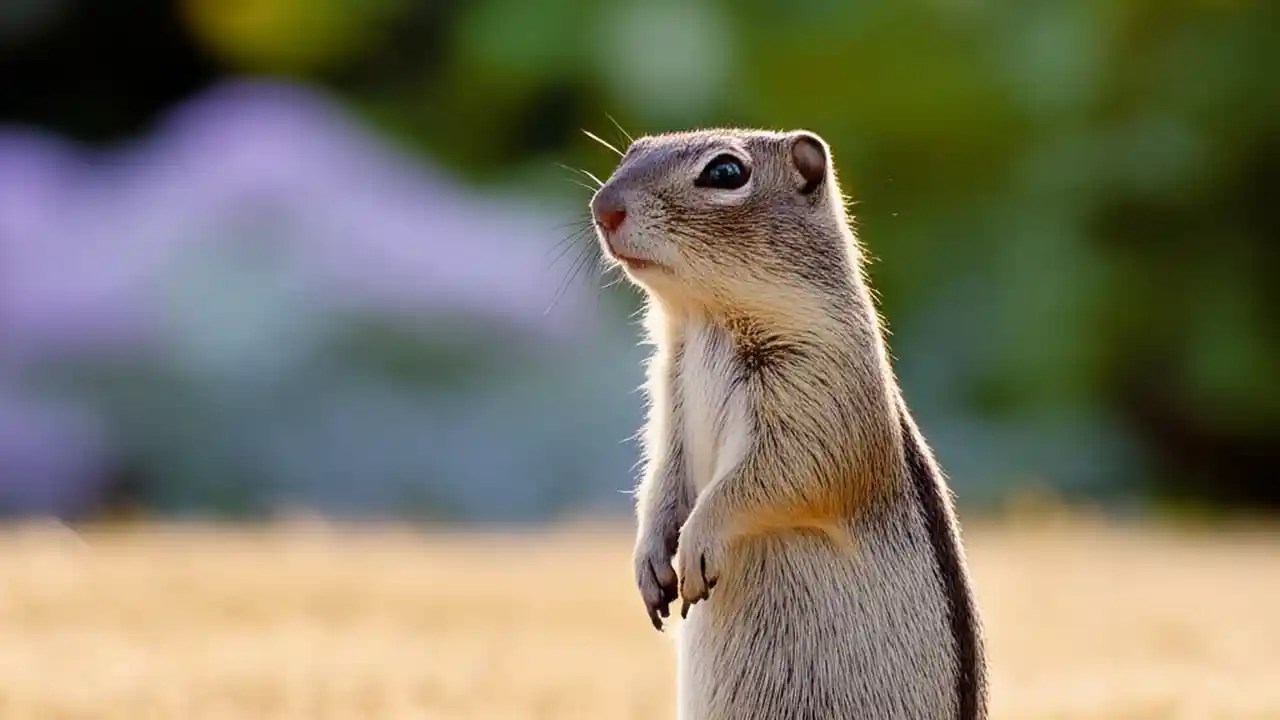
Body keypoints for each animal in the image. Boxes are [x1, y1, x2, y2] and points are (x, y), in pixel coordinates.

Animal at [590, 129, 988, 719]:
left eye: (726, 172)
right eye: (631, 152)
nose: (603, 207)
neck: (707, 320)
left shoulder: (822, 395)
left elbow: (783, 477)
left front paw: (698, 540)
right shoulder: (670, 405)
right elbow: (661, 481)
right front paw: (649, 561)